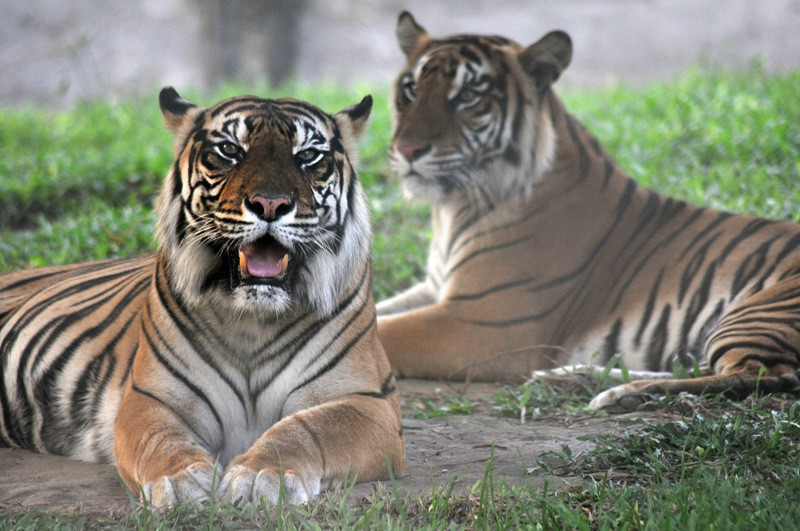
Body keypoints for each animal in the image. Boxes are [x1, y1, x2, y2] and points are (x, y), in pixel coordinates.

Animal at [0, 88, 404, 508]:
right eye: (229, 150)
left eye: (308, 155)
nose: (270, 204)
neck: (253, 322)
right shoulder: (152, 398)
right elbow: (159, 439)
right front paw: (182, 481)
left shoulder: (367, 401)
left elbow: (307, 430)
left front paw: (261, 475)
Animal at [376, 11, 800, 409]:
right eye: (411, 89)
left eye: (466, 95)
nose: (407, 149)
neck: (453, 208)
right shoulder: (434, 289)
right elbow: (374, 310)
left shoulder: (482, 319)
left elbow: (382, 331)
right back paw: (571, 376)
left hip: (758, 311)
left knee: (763, 375)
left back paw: (623, 394)